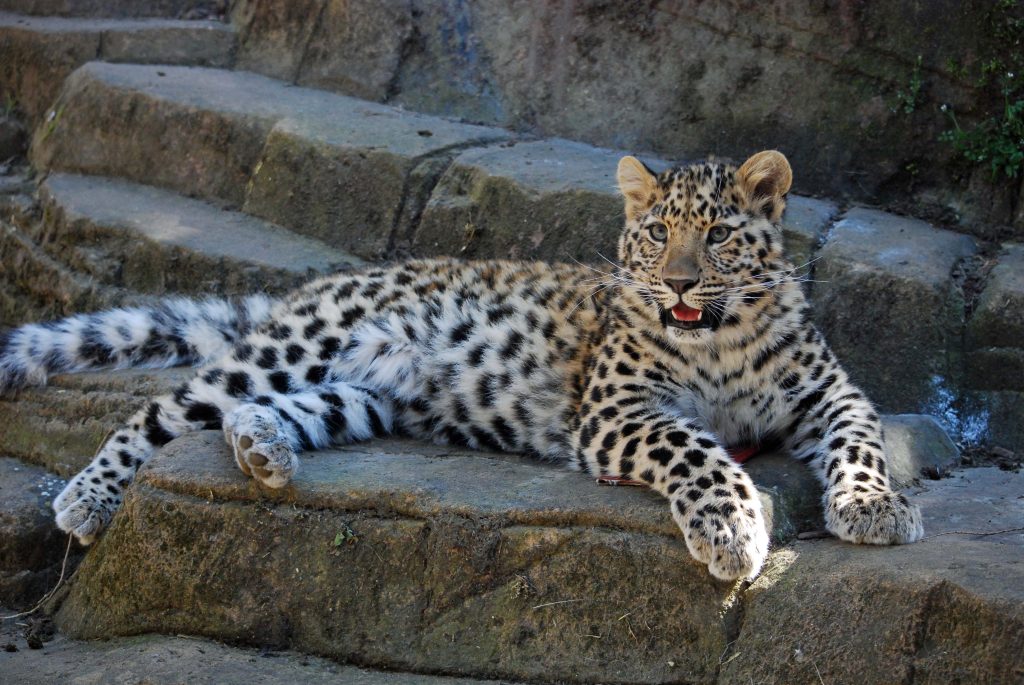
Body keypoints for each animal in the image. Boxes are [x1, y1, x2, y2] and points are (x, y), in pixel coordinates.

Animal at [0, 150, 923, 581]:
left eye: (721, 234)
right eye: (659, 232)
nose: (679, 282)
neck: (720, 341)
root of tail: (327, 280)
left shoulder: (830, 391)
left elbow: (865, 437)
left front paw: (875, 507)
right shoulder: (618, 411)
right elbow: (698, 450)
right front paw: (732, 530)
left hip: (365, 394)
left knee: (267, 411)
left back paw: (266, 449)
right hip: (296, 345)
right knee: (161, 411)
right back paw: (87, 496)